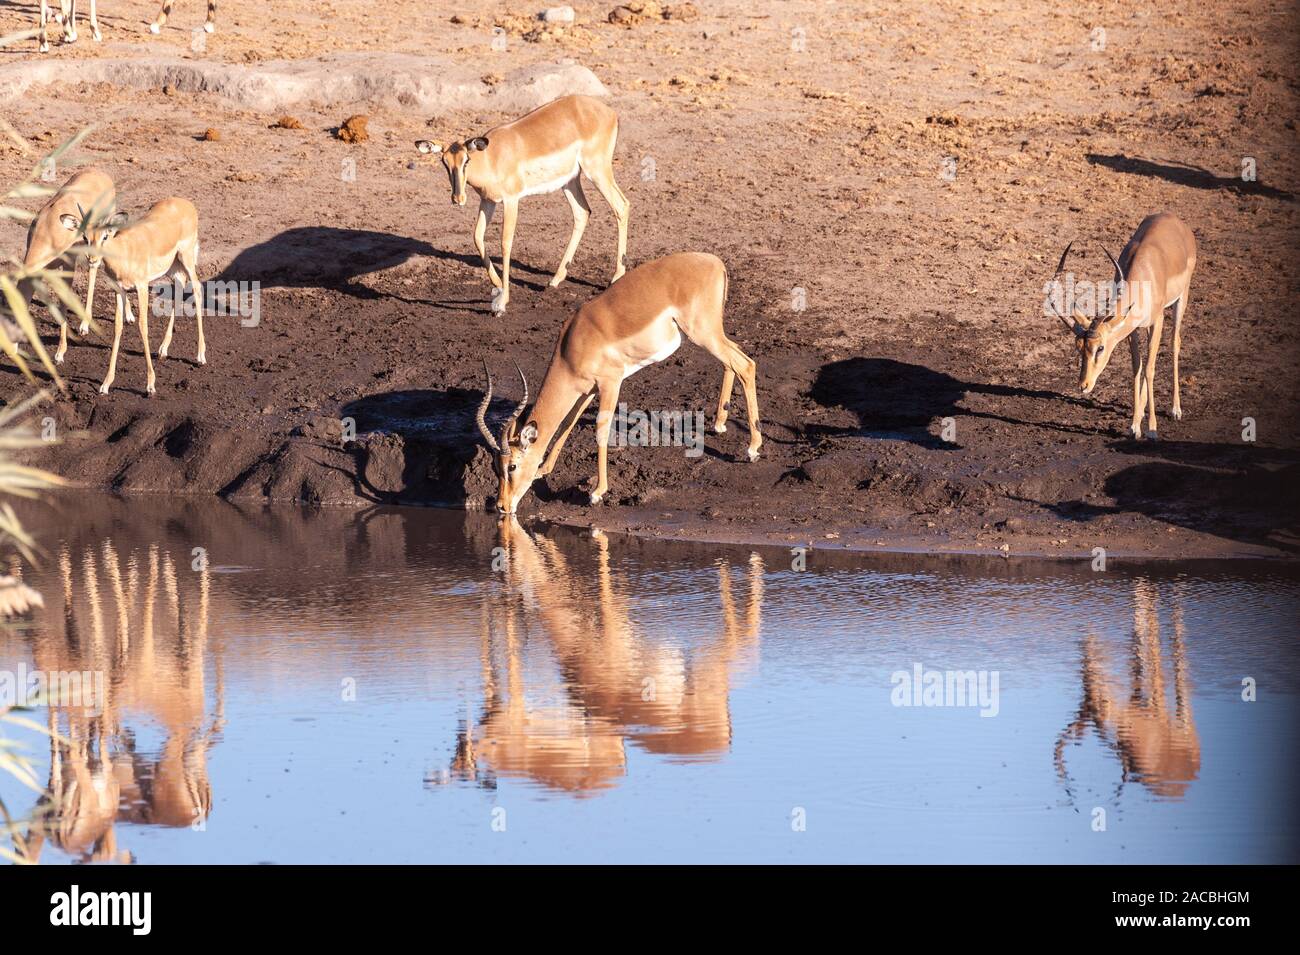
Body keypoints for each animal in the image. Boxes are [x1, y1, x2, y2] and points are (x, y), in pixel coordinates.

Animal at [20, 166, 115, 363]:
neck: (47, 230)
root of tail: (100, 172)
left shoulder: (69, 264)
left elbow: (63, 303)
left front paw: (60, 353)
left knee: (94, 268)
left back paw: (85, 325)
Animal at [84, 197, 205, 396]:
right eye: (85, 238)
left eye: (105, 236)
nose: (92, 259)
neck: (124, 251)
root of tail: (185, 203)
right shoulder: (119, 290)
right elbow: (118, 327)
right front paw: (106, 383)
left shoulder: (141, 287)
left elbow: (143, 326)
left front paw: (150, 384)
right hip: (173, 267)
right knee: (179, 286)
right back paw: (163, 350)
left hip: (186, 258)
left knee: (197, 289)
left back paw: (201, 356)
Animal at [415, 94, 629, 313]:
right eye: (445, 162)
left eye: (466, 160)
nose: (458, 198)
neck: (491, 158)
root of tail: (609, 111)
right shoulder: (488, 201)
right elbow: (477, 236)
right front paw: (498, 285)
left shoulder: (511, 200)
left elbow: (505, 242)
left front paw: (502, 303)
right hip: (570, 181)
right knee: (582, 212)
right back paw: (555, 280)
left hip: (596, 171)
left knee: (621, 205)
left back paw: (617, 276)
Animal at [476, 252, 761, 514]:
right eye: (495, 467)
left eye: (512, 466)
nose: (502, 506)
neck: (572, 346)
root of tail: (715, 262)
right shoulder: (586, 390)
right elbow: (568, 423)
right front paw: (544, 469)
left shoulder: (610, 383)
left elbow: (601, 430)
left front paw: (597, 492)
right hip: (711, 334)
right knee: (734, 359)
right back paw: (720, 424)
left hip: (703, 333)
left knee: (745, 365)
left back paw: (752, 449)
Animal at [1048, 213, 1197, 439]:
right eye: (1078, 347)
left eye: (1100, 347)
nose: (1083, 385)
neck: (1144, 275)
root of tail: (1173, 219)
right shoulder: (1131, 329)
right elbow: (1137, 366)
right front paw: (1134, 425)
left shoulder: (1158, 320)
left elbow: (1150, 369)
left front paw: (1152, 429)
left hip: (1181, 299)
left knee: (1175, 343)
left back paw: (1175, 410)